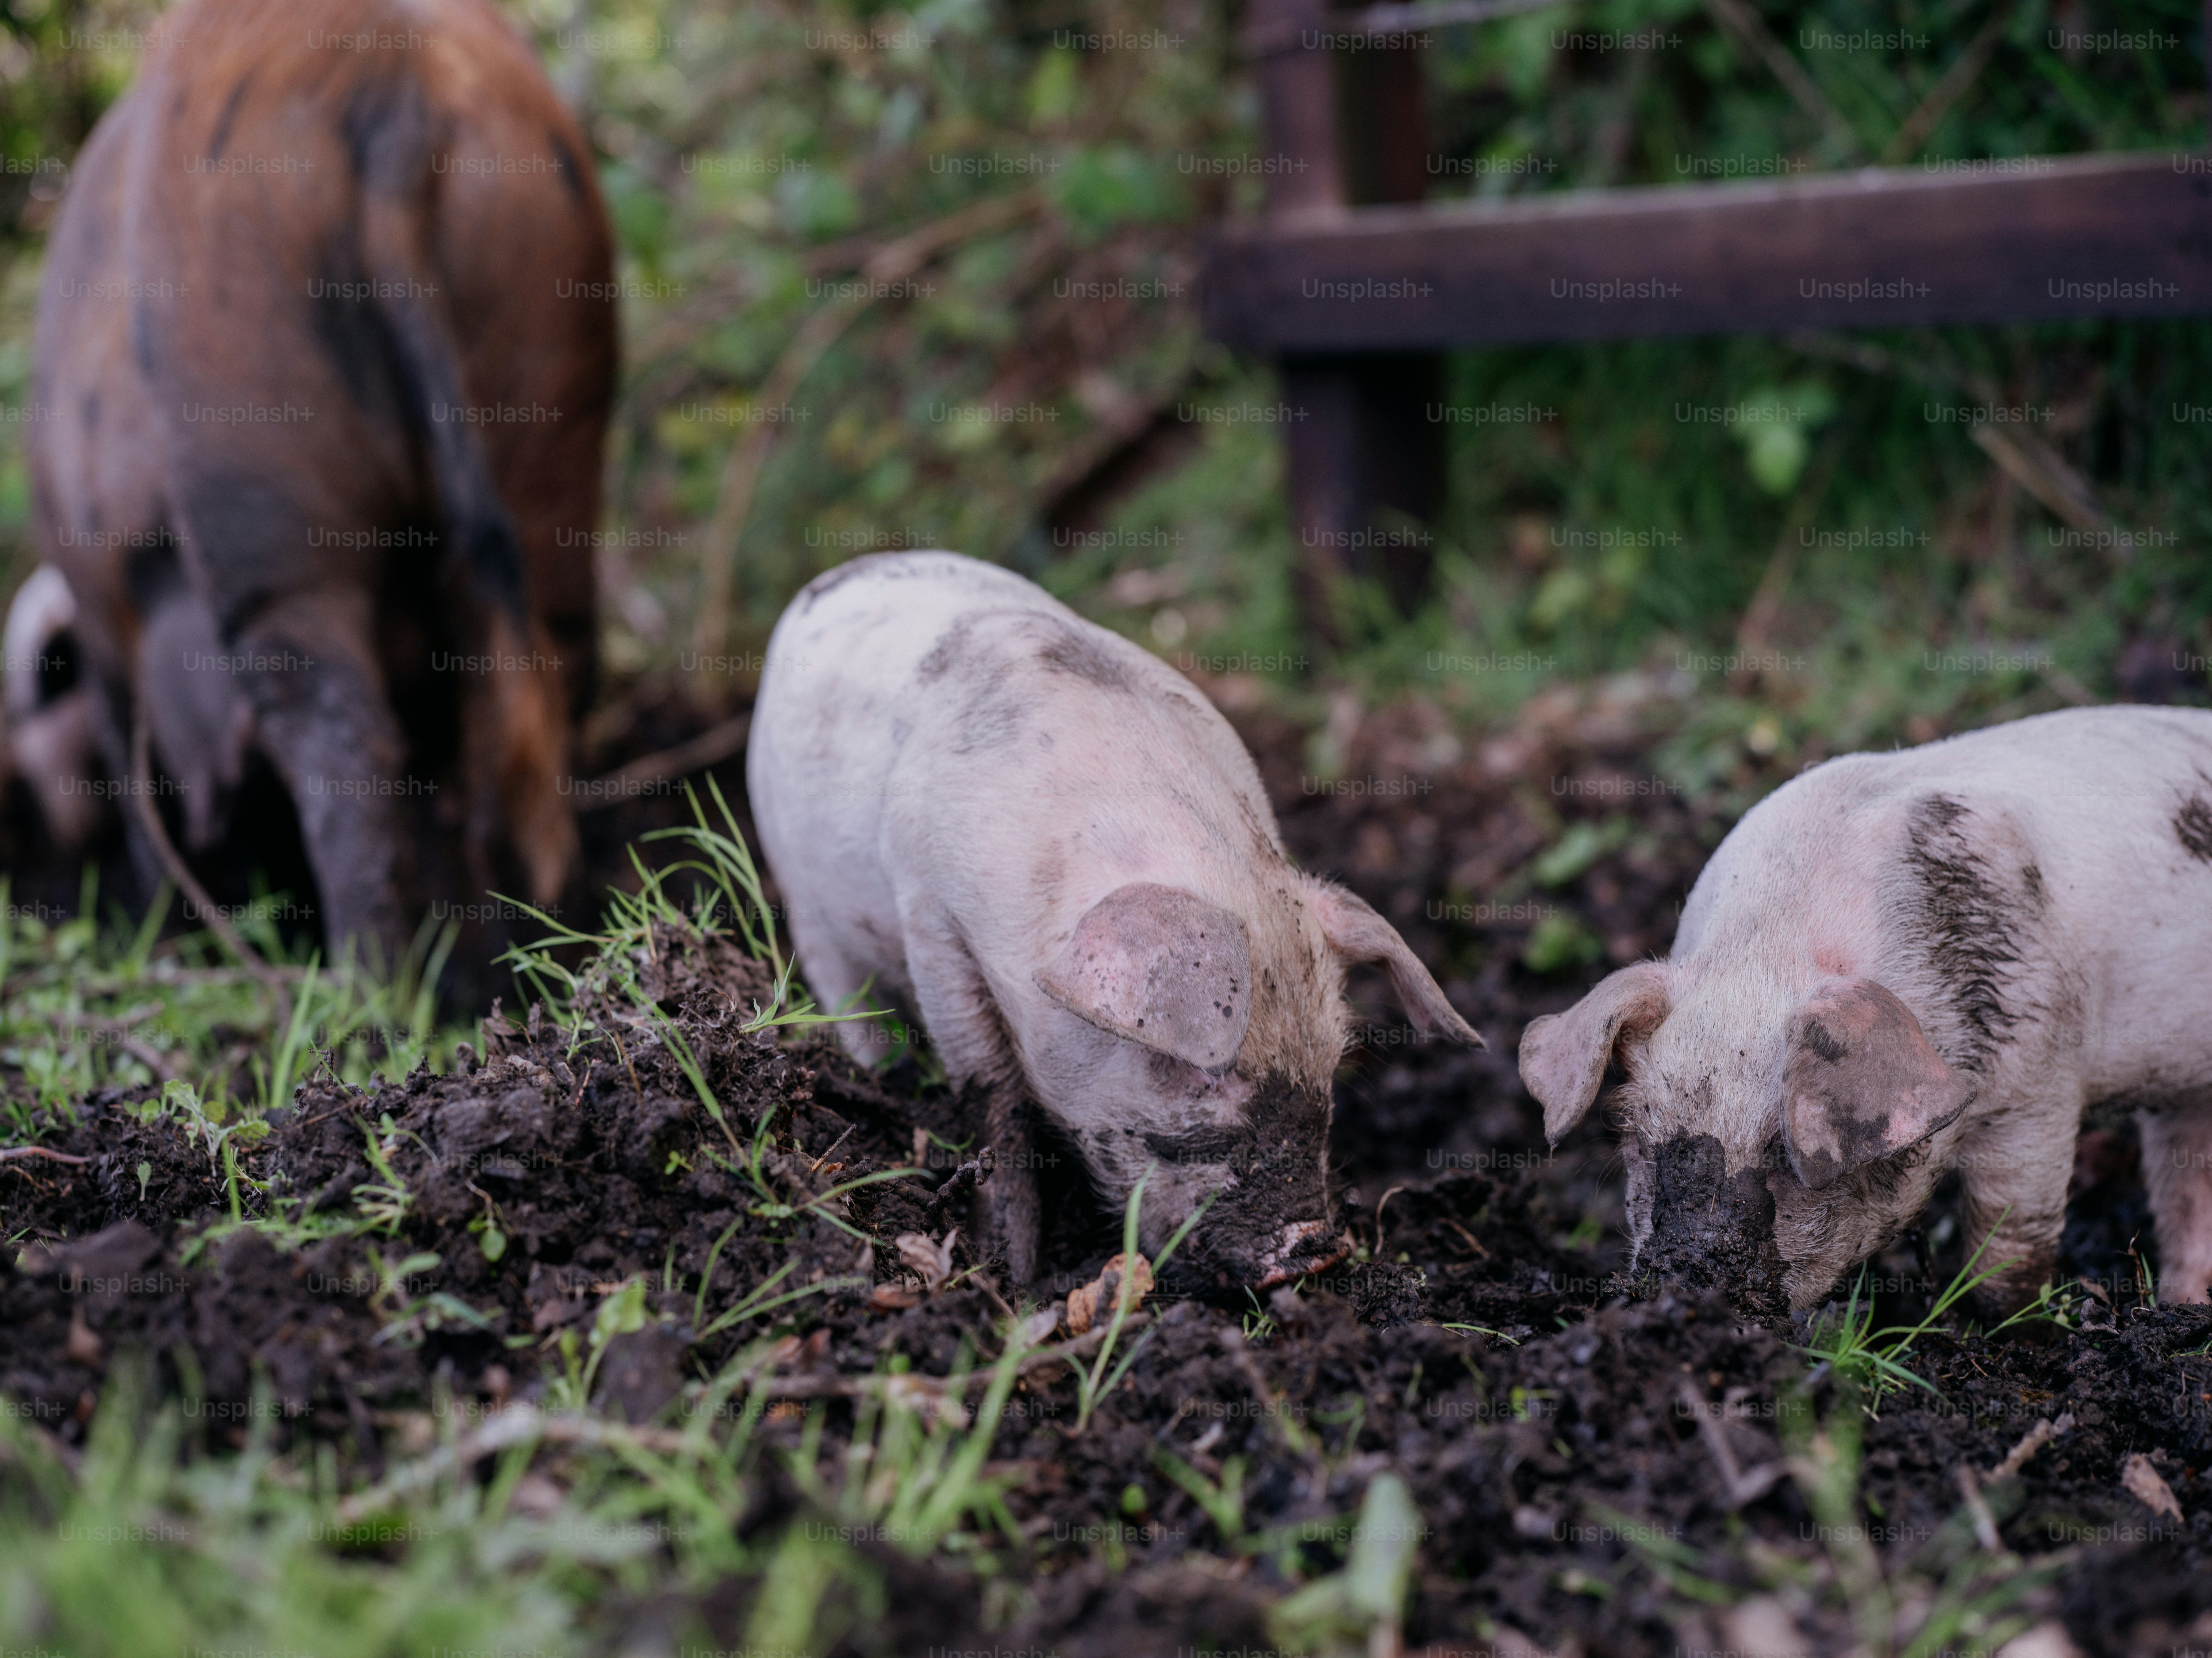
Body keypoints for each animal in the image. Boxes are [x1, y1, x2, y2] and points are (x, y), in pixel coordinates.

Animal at [28, 0, 616, 964]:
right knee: (539, 689)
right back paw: (544, 964)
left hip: (259, 468)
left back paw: (365, 988)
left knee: (341, 738)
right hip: (552, 394)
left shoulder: (112, 641)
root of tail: (389, 83)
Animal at [747, 551, 1482, 1288]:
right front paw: (1012, 1272)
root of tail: (842, 573)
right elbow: (993, 1094)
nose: (1312, 1248)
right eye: (1203, 1072)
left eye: (1330, 1060)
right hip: (803, 899)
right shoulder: (931, 916)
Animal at [1520, 705, 2212, 1313]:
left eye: (1785, 1152)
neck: (1766, 951)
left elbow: (2009, 1233)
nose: (1683, 1285)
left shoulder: (2039, 1077)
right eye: (1637, 1131)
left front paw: (1997, 1324)